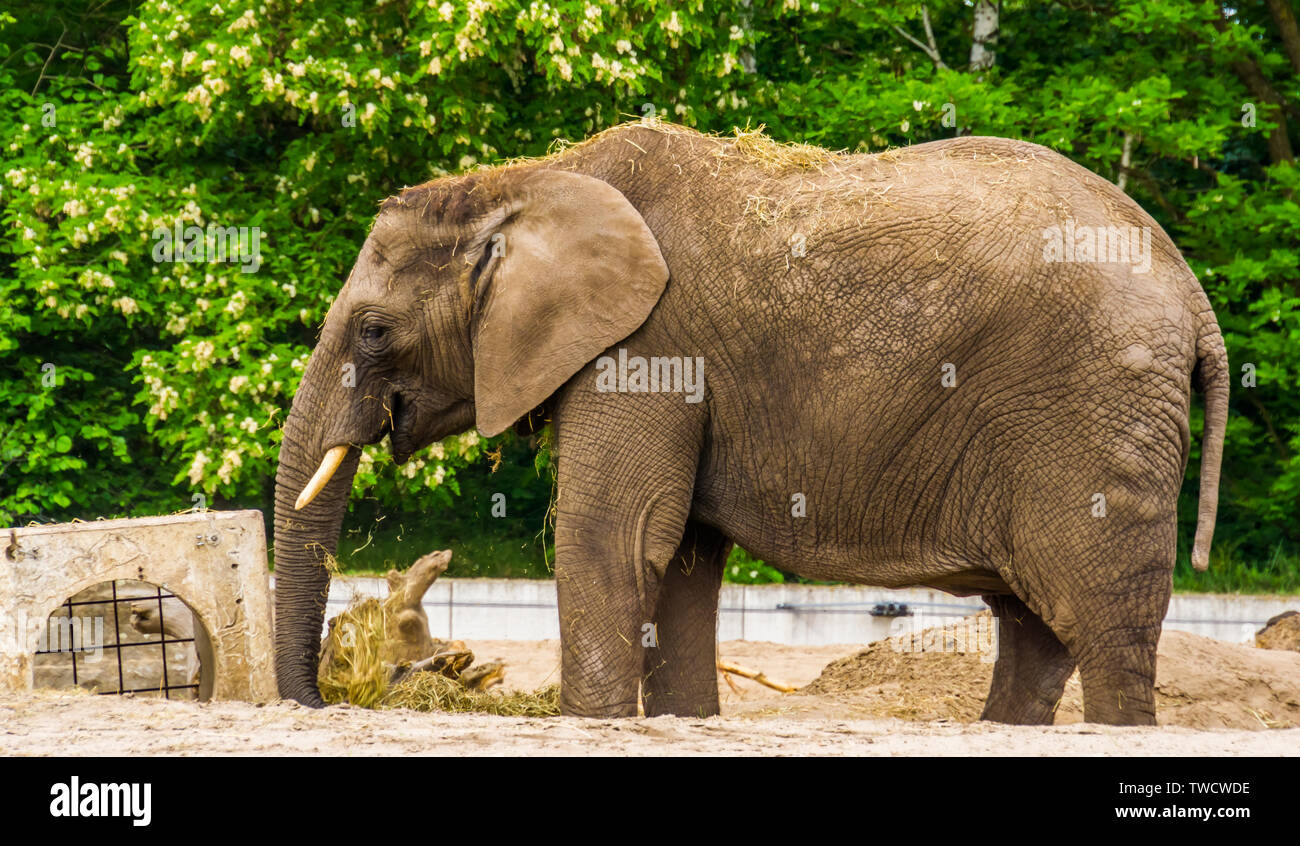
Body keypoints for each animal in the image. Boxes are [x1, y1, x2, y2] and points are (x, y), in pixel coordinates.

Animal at [273, 121, 1227, 725]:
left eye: (373, 330)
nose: (325, 698)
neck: (527, 181)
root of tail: (1191, 290)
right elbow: (682, 556)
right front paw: (680, 719)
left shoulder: (650, 345)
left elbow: (612, 534)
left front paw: (593, 720)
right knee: (1036, 627)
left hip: (1092, 408)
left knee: (1099, 619)